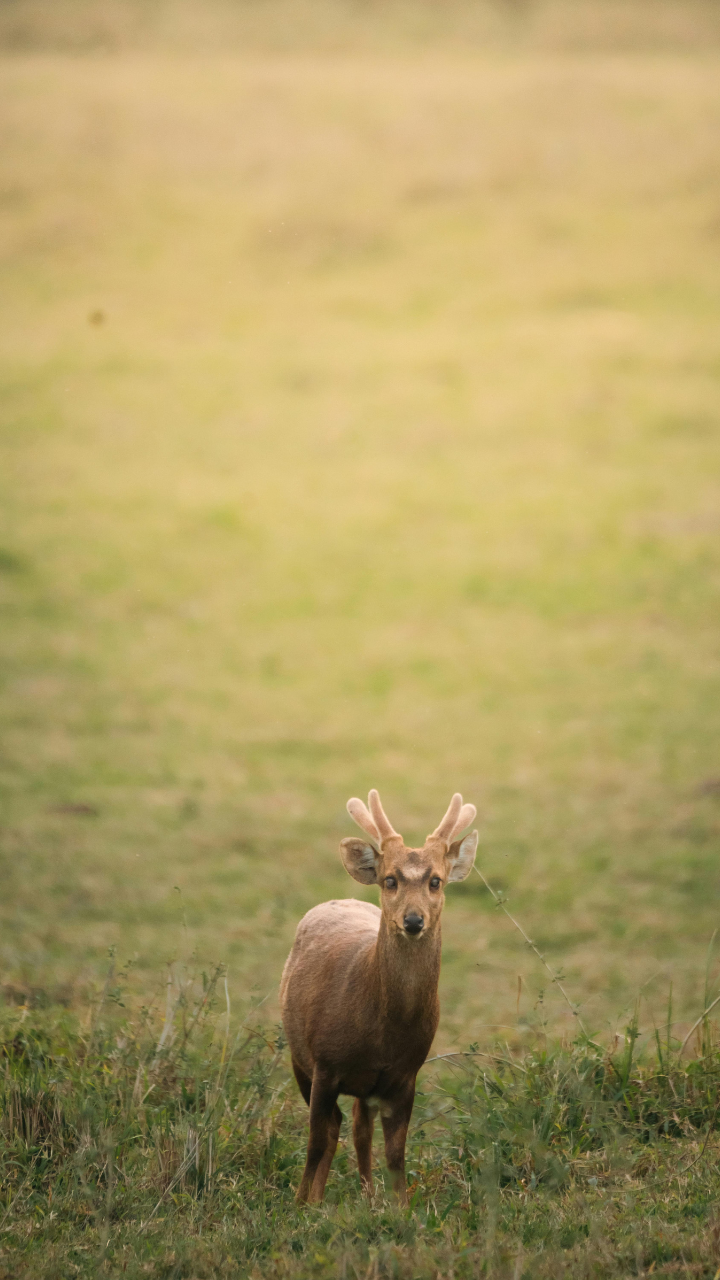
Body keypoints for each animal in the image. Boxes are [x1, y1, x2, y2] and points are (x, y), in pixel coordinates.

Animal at [280, 789, 478, 1205]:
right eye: (390, 880)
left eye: (436, 881)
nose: (414, 921)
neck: (382, 1031)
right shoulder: (323, 1062)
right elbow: (316, 1142)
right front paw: (301, 1204)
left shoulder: (404, 1075)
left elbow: (395, 1154)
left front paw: (399, 1207)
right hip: (298, 1055)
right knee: (336, 1128)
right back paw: (319, 1197)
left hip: (364, 1086)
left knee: (358, 1127)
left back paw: (368, 1196)